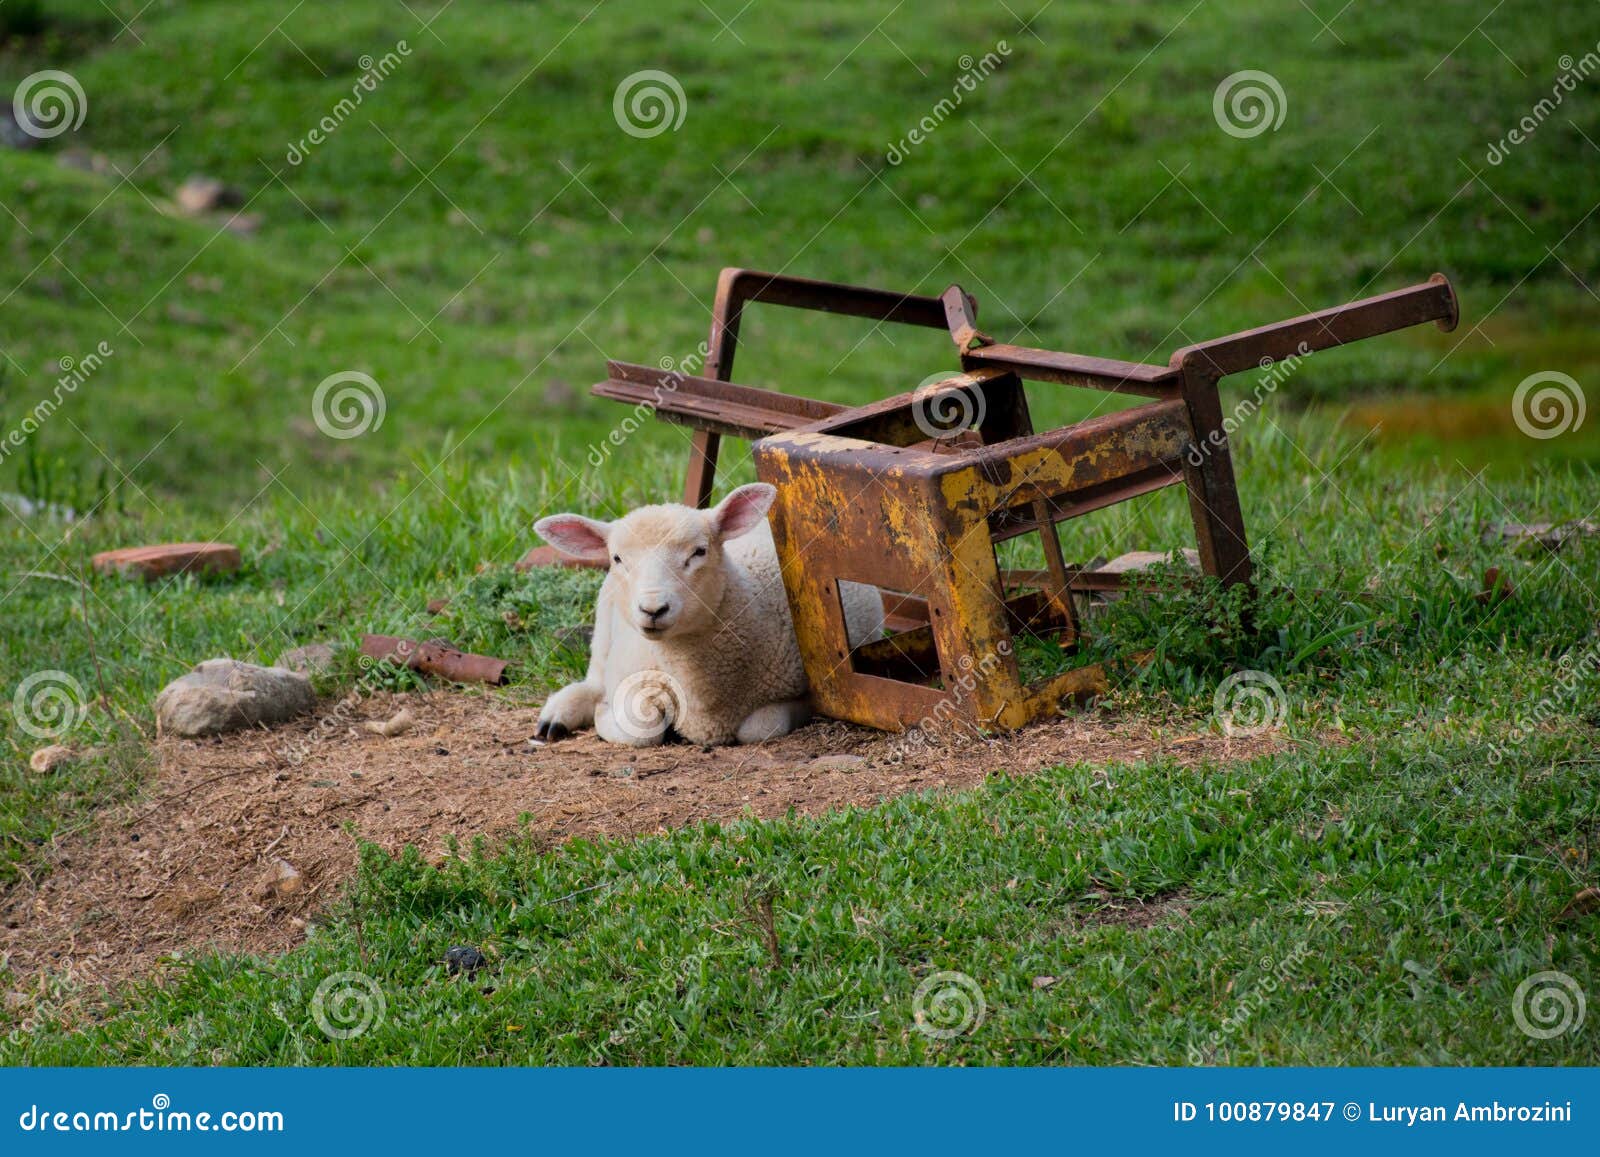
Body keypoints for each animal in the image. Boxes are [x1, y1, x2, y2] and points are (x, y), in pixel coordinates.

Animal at [532, 483, 883, 747]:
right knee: (593, 680)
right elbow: (642, 729)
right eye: (618, 558)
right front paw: (604, 714)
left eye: (699, 552)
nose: (653, 609)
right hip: (605, 629)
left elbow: (758, 728)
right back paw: (556, 716)